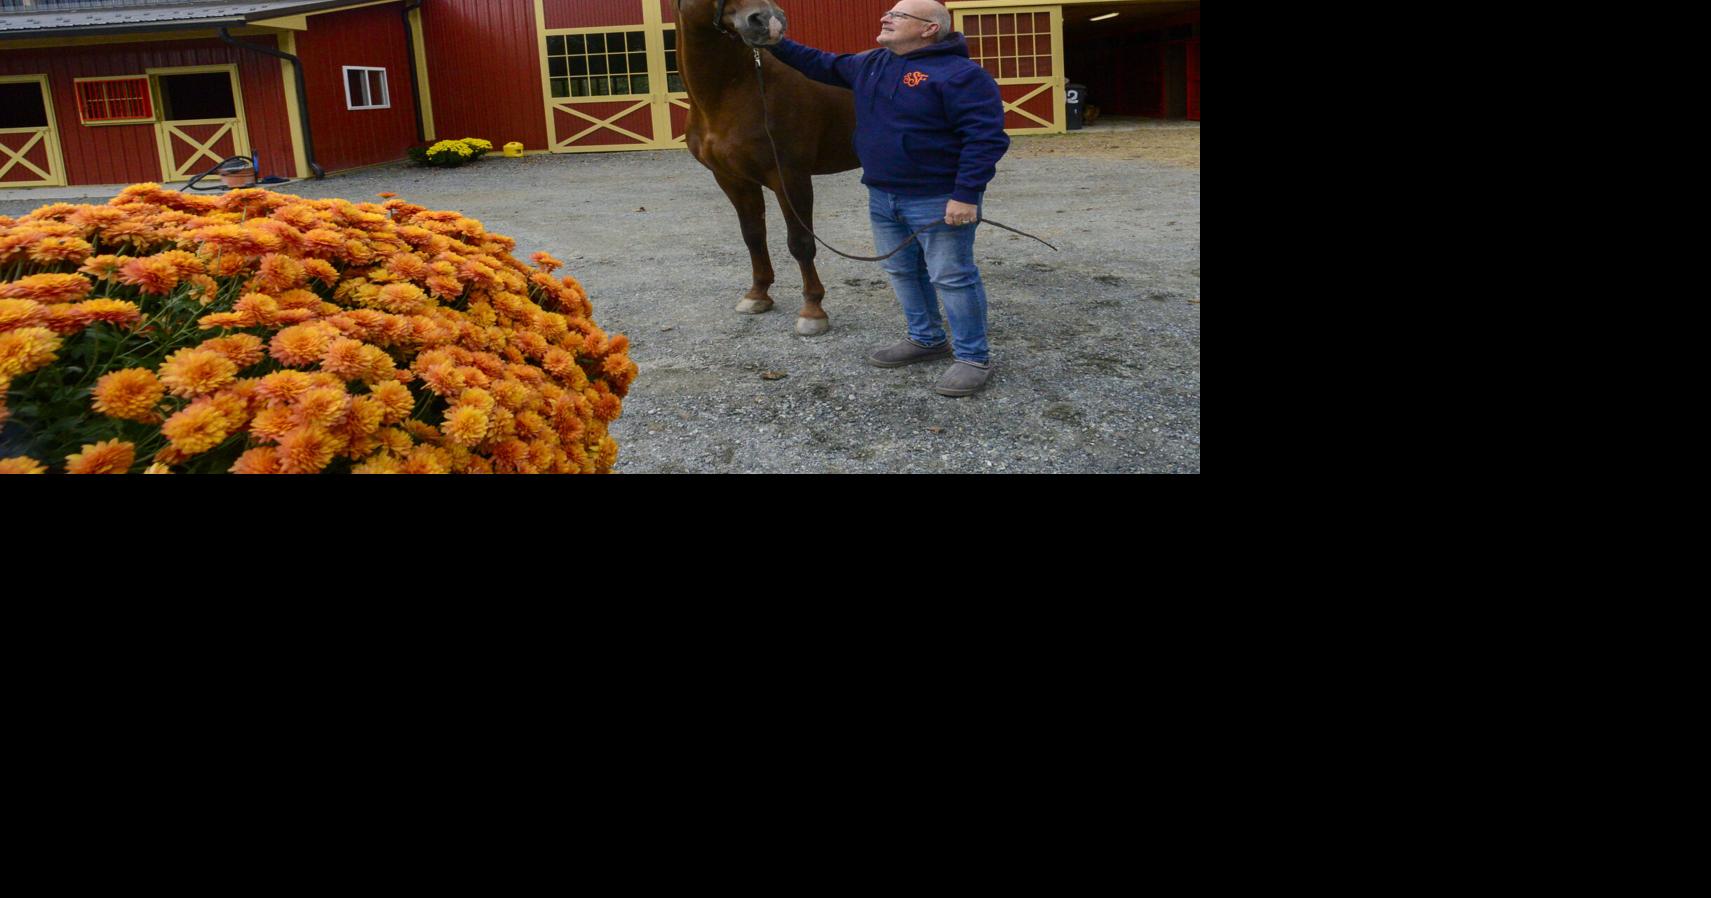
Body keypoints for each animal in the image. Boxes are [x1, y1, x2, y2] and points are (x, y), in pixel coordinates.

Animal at [675, 0, 860, 336]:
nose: (770, 20)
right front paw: (757, 295)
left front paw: (813, 311)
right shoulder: (733, 180)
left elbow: (800, 243)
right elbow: (753, 236)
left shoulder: (790, 177)